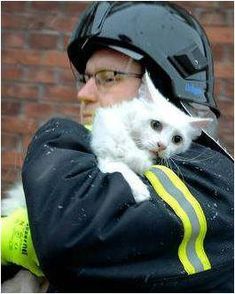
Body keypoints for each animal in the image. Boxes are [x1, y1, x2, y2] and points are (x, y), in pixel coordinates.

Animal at [90, 72, 211, 203]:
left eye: (177, 139)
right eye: (155, 124)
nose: (162, 146)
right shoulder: (106, 152)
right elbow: (121, 167)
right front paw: (139, 190)